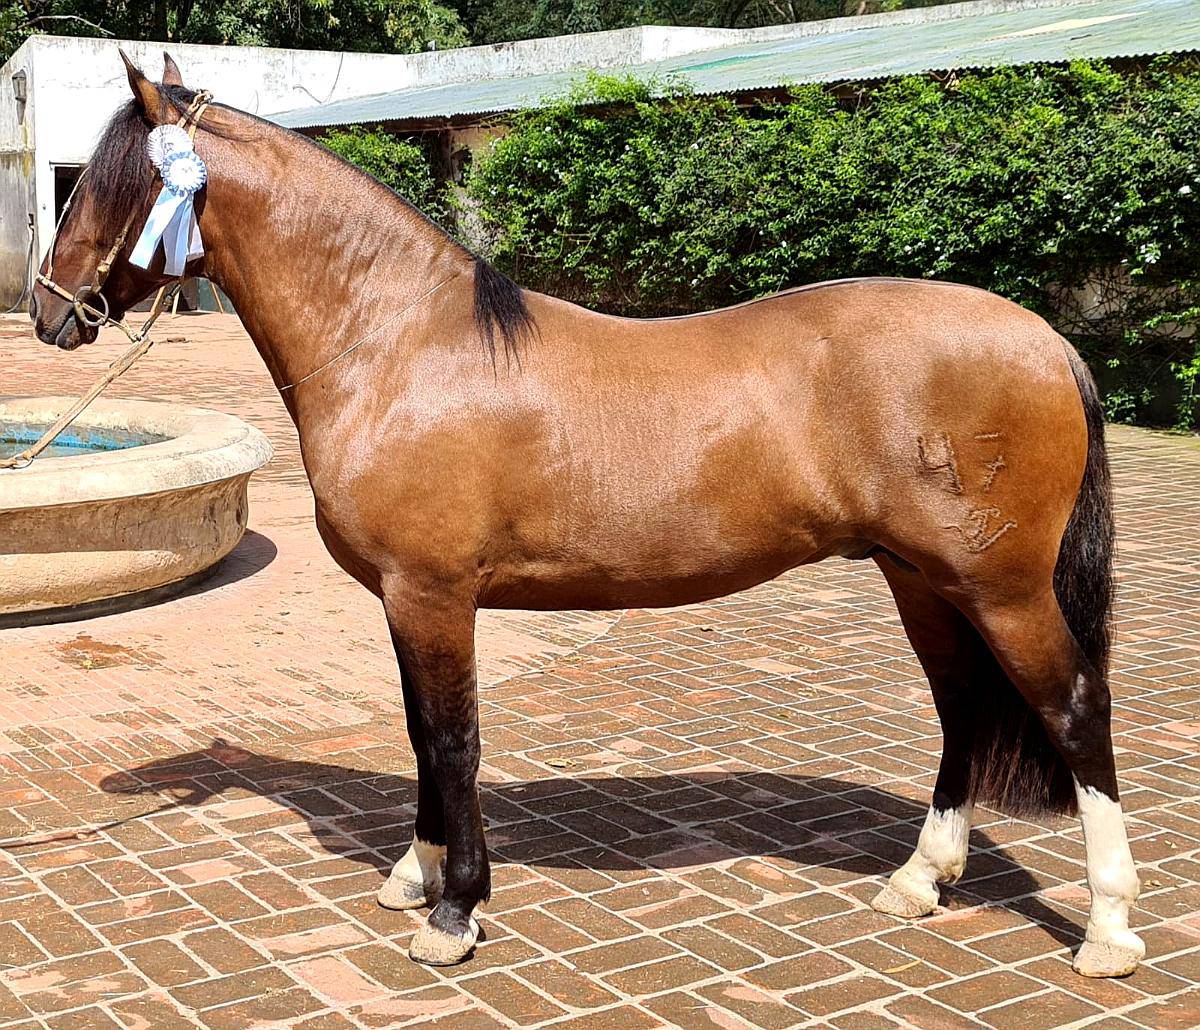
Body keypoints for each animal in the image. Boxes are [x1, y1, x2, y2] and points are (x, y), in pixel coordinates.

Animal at [29, 52, 1143, 977]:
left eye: (109, 184)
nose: (48, 310)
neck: (396, 345)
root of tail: (1046, 340)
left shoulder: (433, 593)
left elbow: (452, 738)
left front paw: (455, 911)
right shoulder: (404, 598)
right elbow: (420, 731)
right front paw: (416, 876)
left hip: (1000, 585)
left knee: (1073, 708)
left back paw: (1109, 930)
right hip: (921, 577)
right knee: (962, 709)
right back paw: (919, 881)